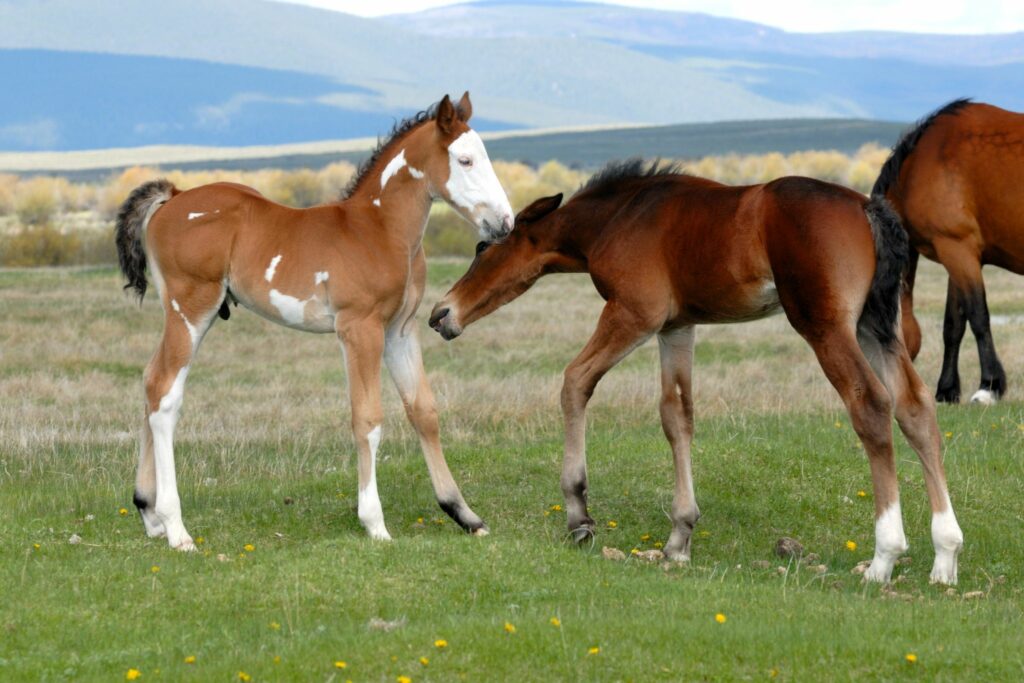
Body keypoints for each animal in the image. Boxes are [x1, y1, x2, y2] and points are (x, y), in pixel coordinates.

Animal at [115, 93, 513, 550]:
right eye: (465, 160)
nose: (504, 223)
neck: (378, 229)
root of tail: (174, 197)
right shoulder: (359, 329)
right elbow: (368, 418)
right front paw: (375, 523)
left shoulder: (400, 330)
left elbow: (424, 412)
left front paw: (463, 513)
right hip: (192, 308)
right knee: (165, 394)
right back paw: (176, 529)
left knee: (150, 380)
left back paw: (148, 513)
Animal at [429, 160, 963, 585]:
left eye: (482, 248)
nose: (440, 314)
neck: (620, 218)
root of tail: (867, 207)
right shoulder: (676, 327)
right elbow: (677, 415)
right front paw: (680, 536)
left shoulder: (633, 315)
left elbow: (575, 381)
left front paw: (579, 515)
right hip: (876, 326)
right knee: (916, 408)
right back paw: (945, 556)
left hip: (826, 325)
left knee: (870, 405)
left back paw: (884, 556)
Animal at [873, 98, 1024, 405]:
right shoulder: (955, 254)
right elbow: (953, 325)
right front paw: (947, 389)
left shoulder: (958, 249)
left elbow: (978, 317)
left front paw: (989, 386)